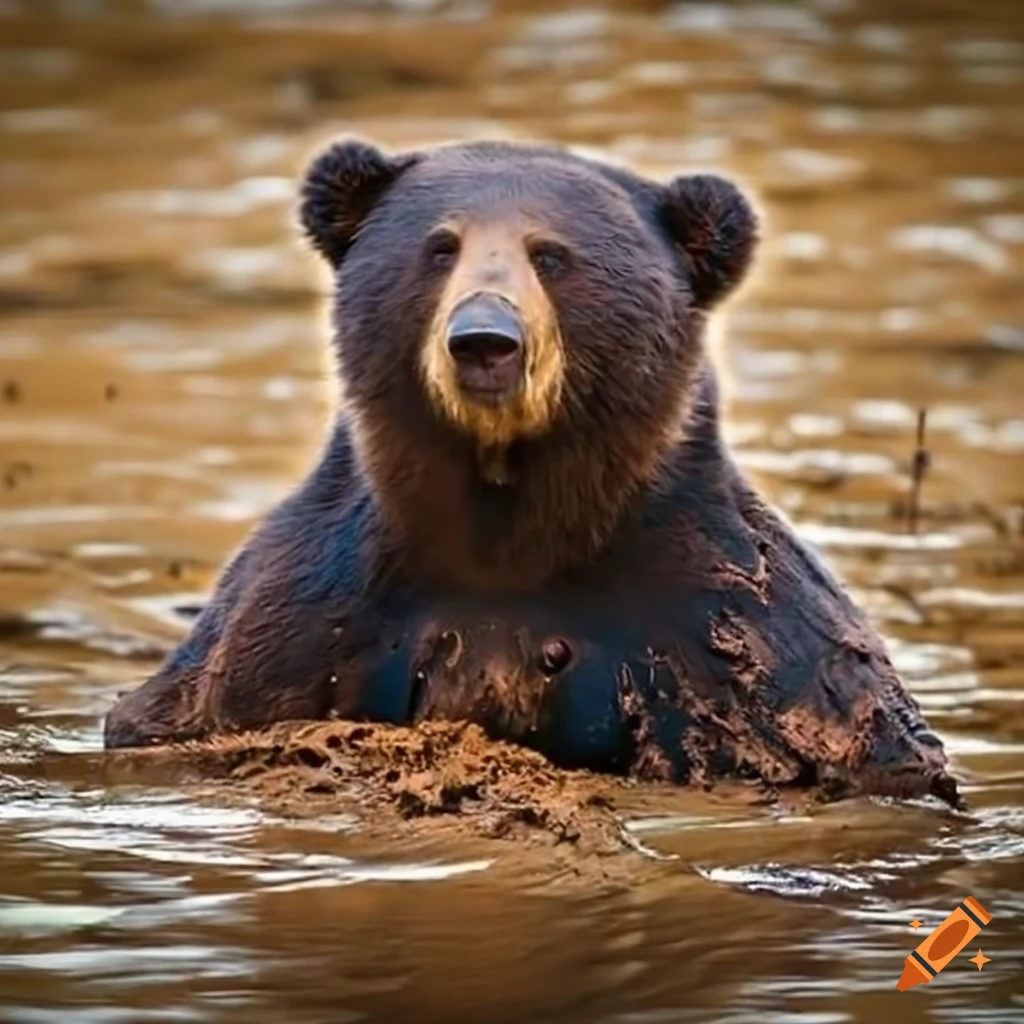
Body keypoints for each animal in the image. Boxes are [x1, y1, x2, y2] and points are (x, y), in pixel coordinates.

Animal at [103, 136, 958, 806]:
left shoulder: (736, 637)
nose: (484, 340)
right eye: (440, 247)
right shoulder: (300, 622)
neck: (508, 521)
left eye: (550, 255)